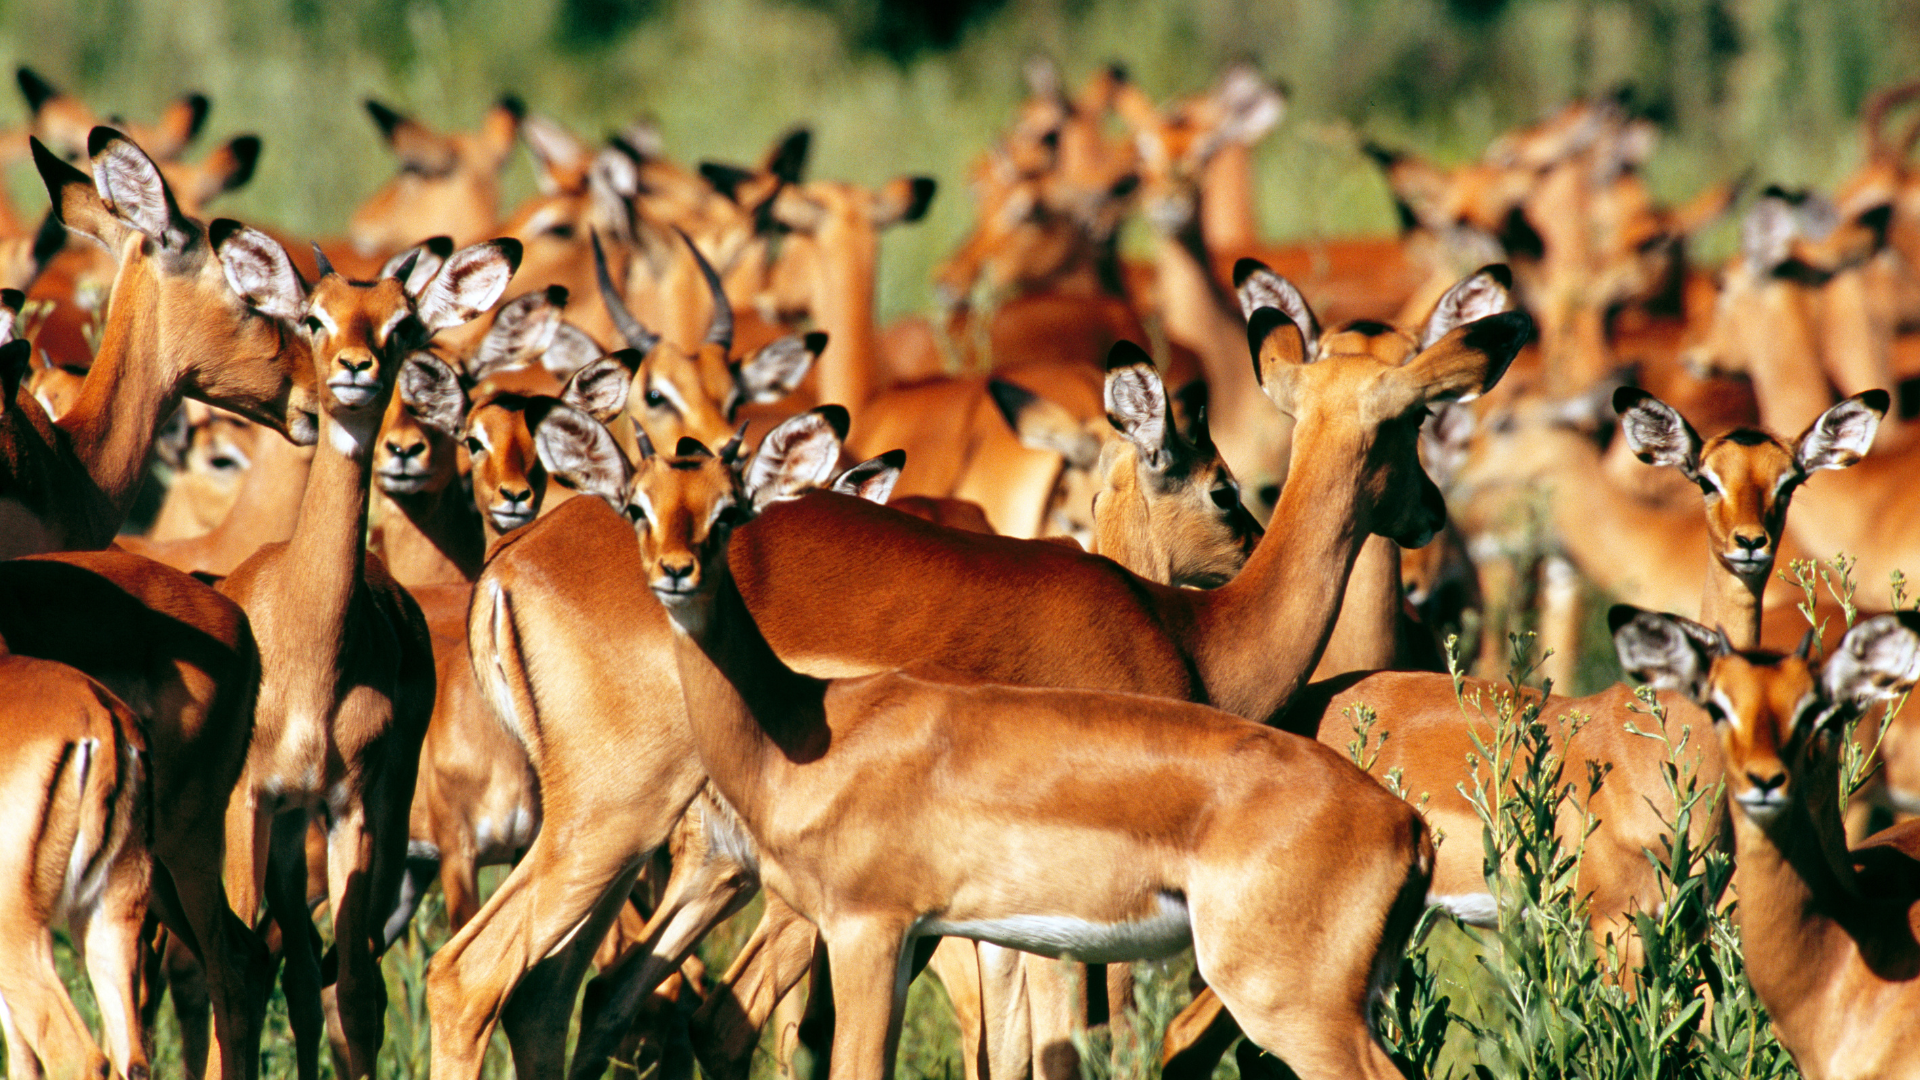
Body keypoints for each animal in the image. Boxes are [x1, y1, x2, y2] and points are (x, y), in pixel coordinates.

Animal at [216, 237, 517, 1080]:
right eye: (314, 317)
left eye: (402, 323)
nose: (356, 369)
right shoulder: (250, 799)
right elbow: (236, 976)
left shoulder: (351, 802)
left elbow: (353, 994)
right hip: (291, 829)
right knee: (280, 965)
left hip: (363, 822)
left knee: (328, 977)